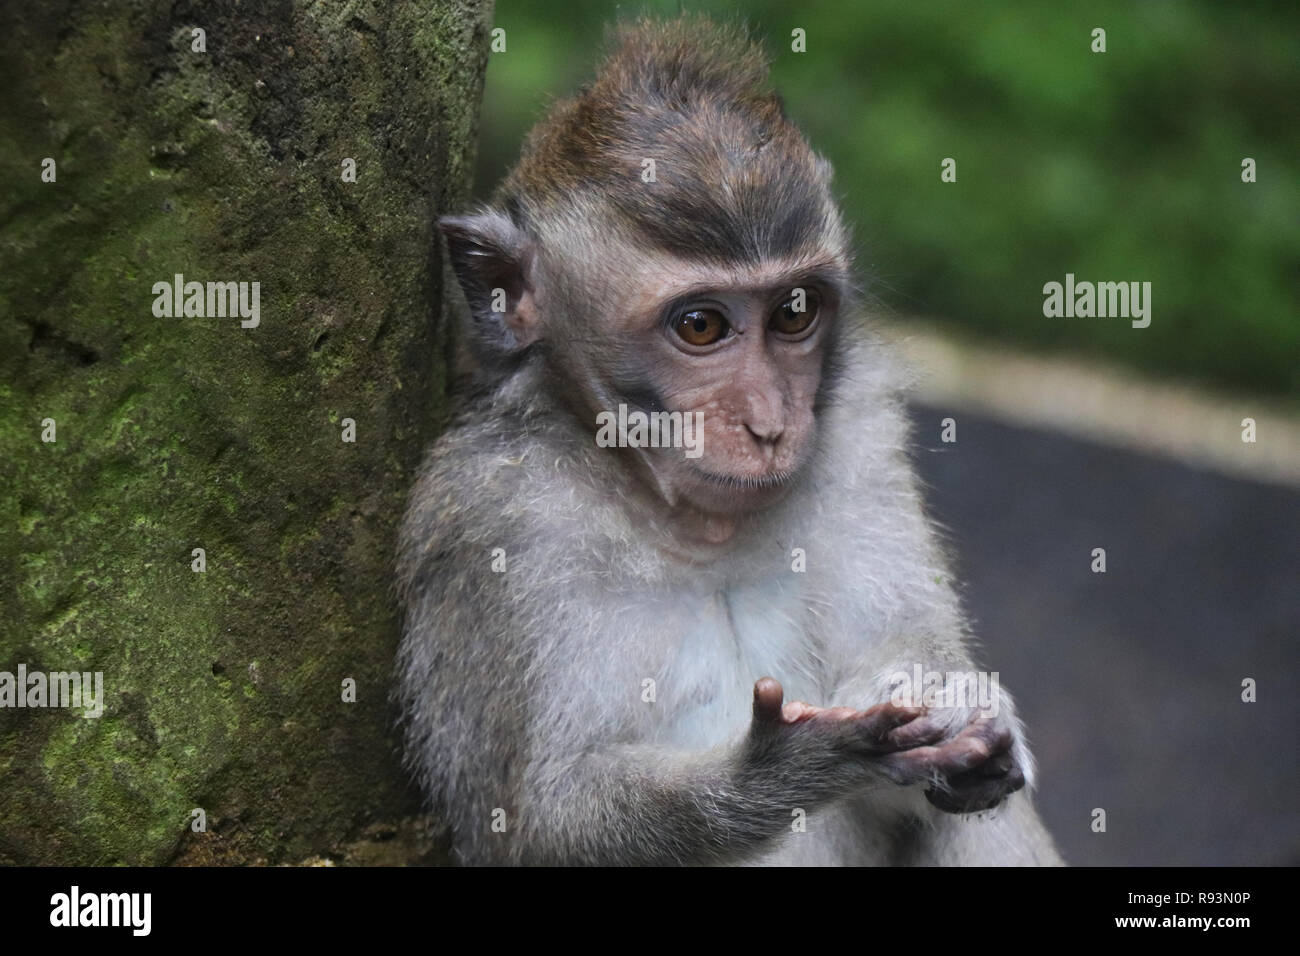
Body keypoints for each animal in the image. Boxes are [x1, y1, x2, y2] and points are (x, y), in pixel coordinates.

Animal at [396, 15, 1062, 866]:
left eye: (794, 312)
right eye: (701, 326)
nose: (771, 423)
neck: (688, 526)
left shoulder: (860, 438)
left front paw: (965, 712)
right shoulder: (493, 518)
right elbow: (534, 827)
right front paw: (793, 764)